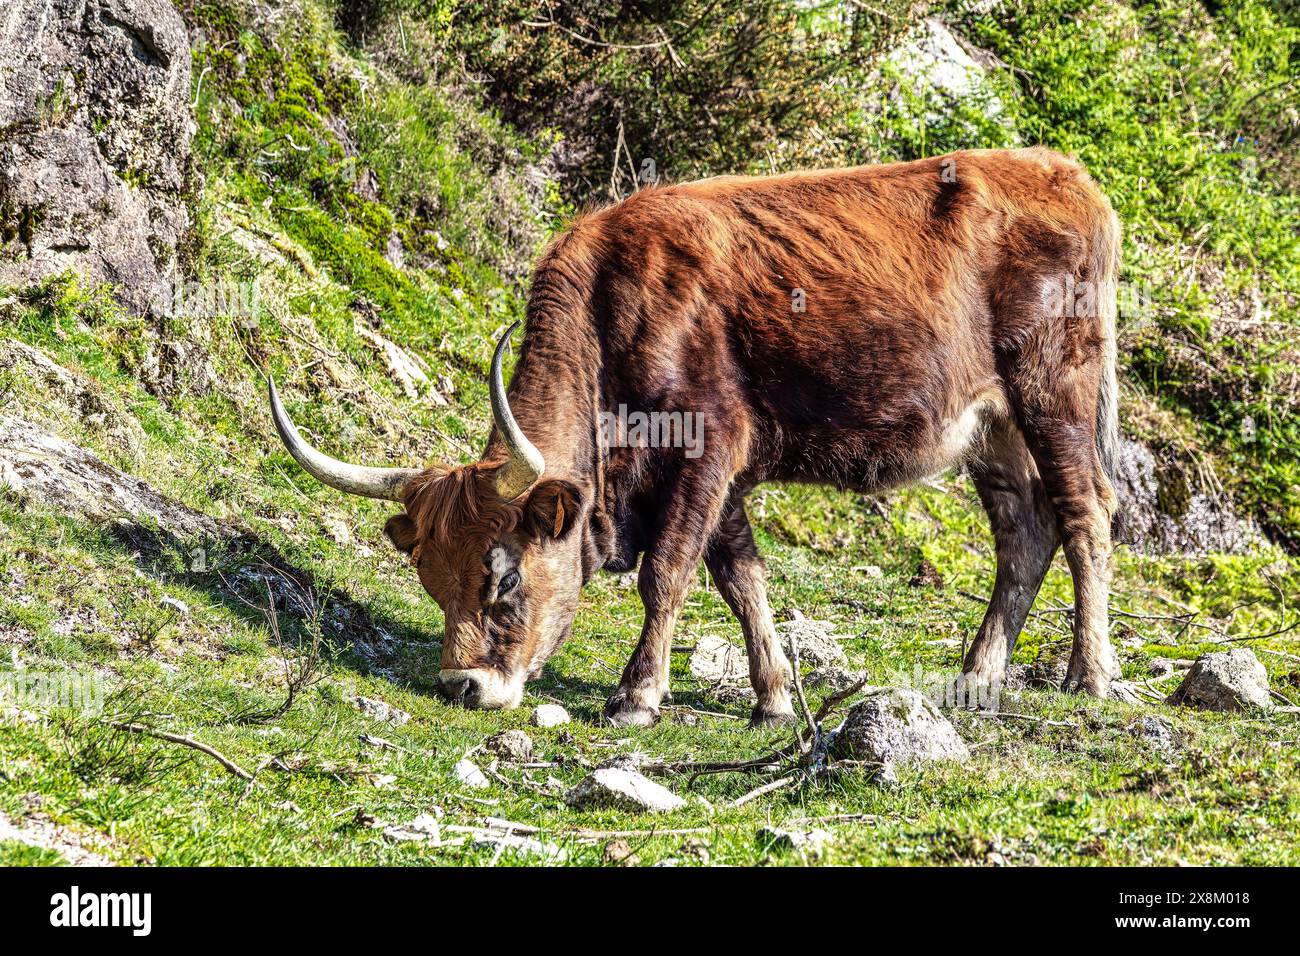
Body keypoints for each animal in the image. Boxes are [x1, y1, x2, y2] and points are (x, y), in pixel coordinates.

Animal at [268, 146, 1123, 728]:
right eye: (430, 579)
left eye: (502, 577)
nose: (463, 686)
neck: (616, 306)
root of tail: (1062, 173)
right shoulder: (728, 477)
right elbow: (741, 576)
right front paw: (773, 697)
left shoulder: (705, 447)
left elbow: (669, 573)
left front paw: (637, 693)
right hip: (993, 428)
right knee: (1023, 534)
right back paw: (978, 677)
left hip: (1055, 393)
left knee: (1086, 515)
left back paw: (1089, 673)